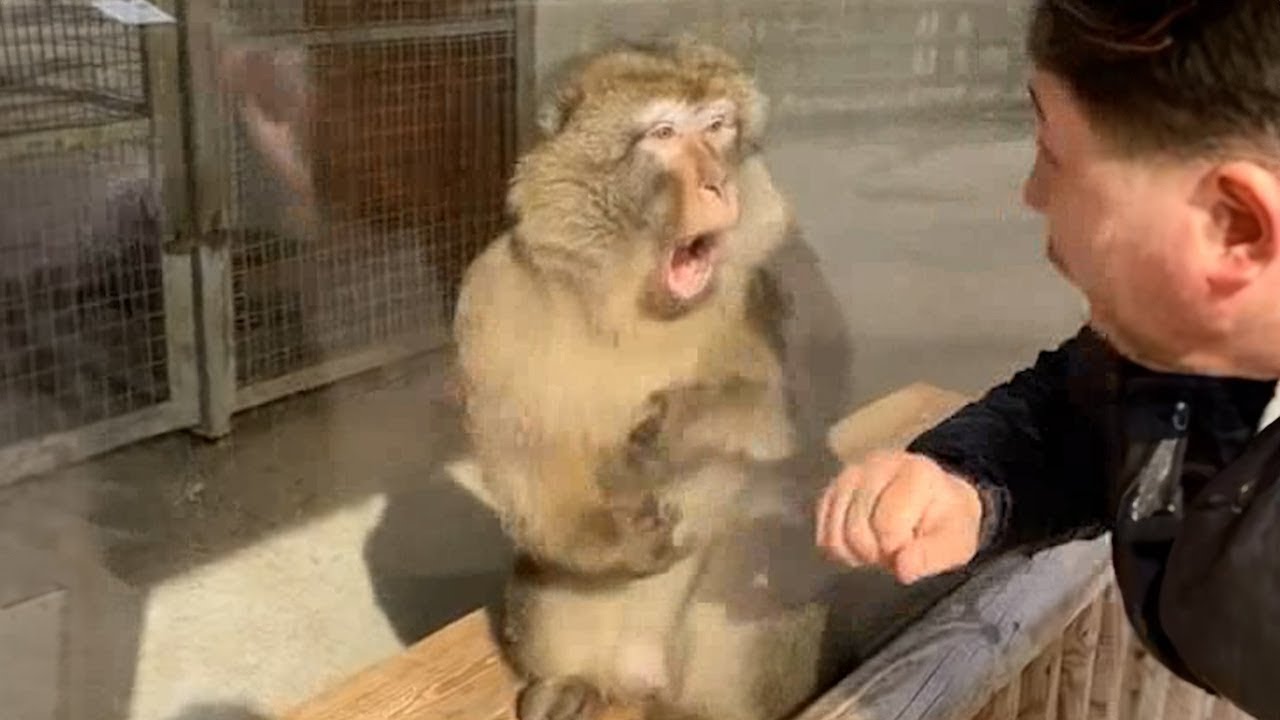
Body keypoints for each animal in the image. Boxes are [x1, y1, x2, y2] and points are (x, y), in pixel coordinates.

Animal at [448, 37, 963, 720]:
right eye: (664, 133)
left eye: (717, 126)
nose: (717, 182)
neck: (634, 304)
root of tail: (642, 674)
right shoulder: (496, 290)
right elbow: (519, 455)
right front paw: (617, 538)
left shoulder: (779, 256)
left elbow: (809, 409)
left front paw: (690, 420)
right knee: (547, 573)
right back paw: (572, 683)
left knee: (764, 545)